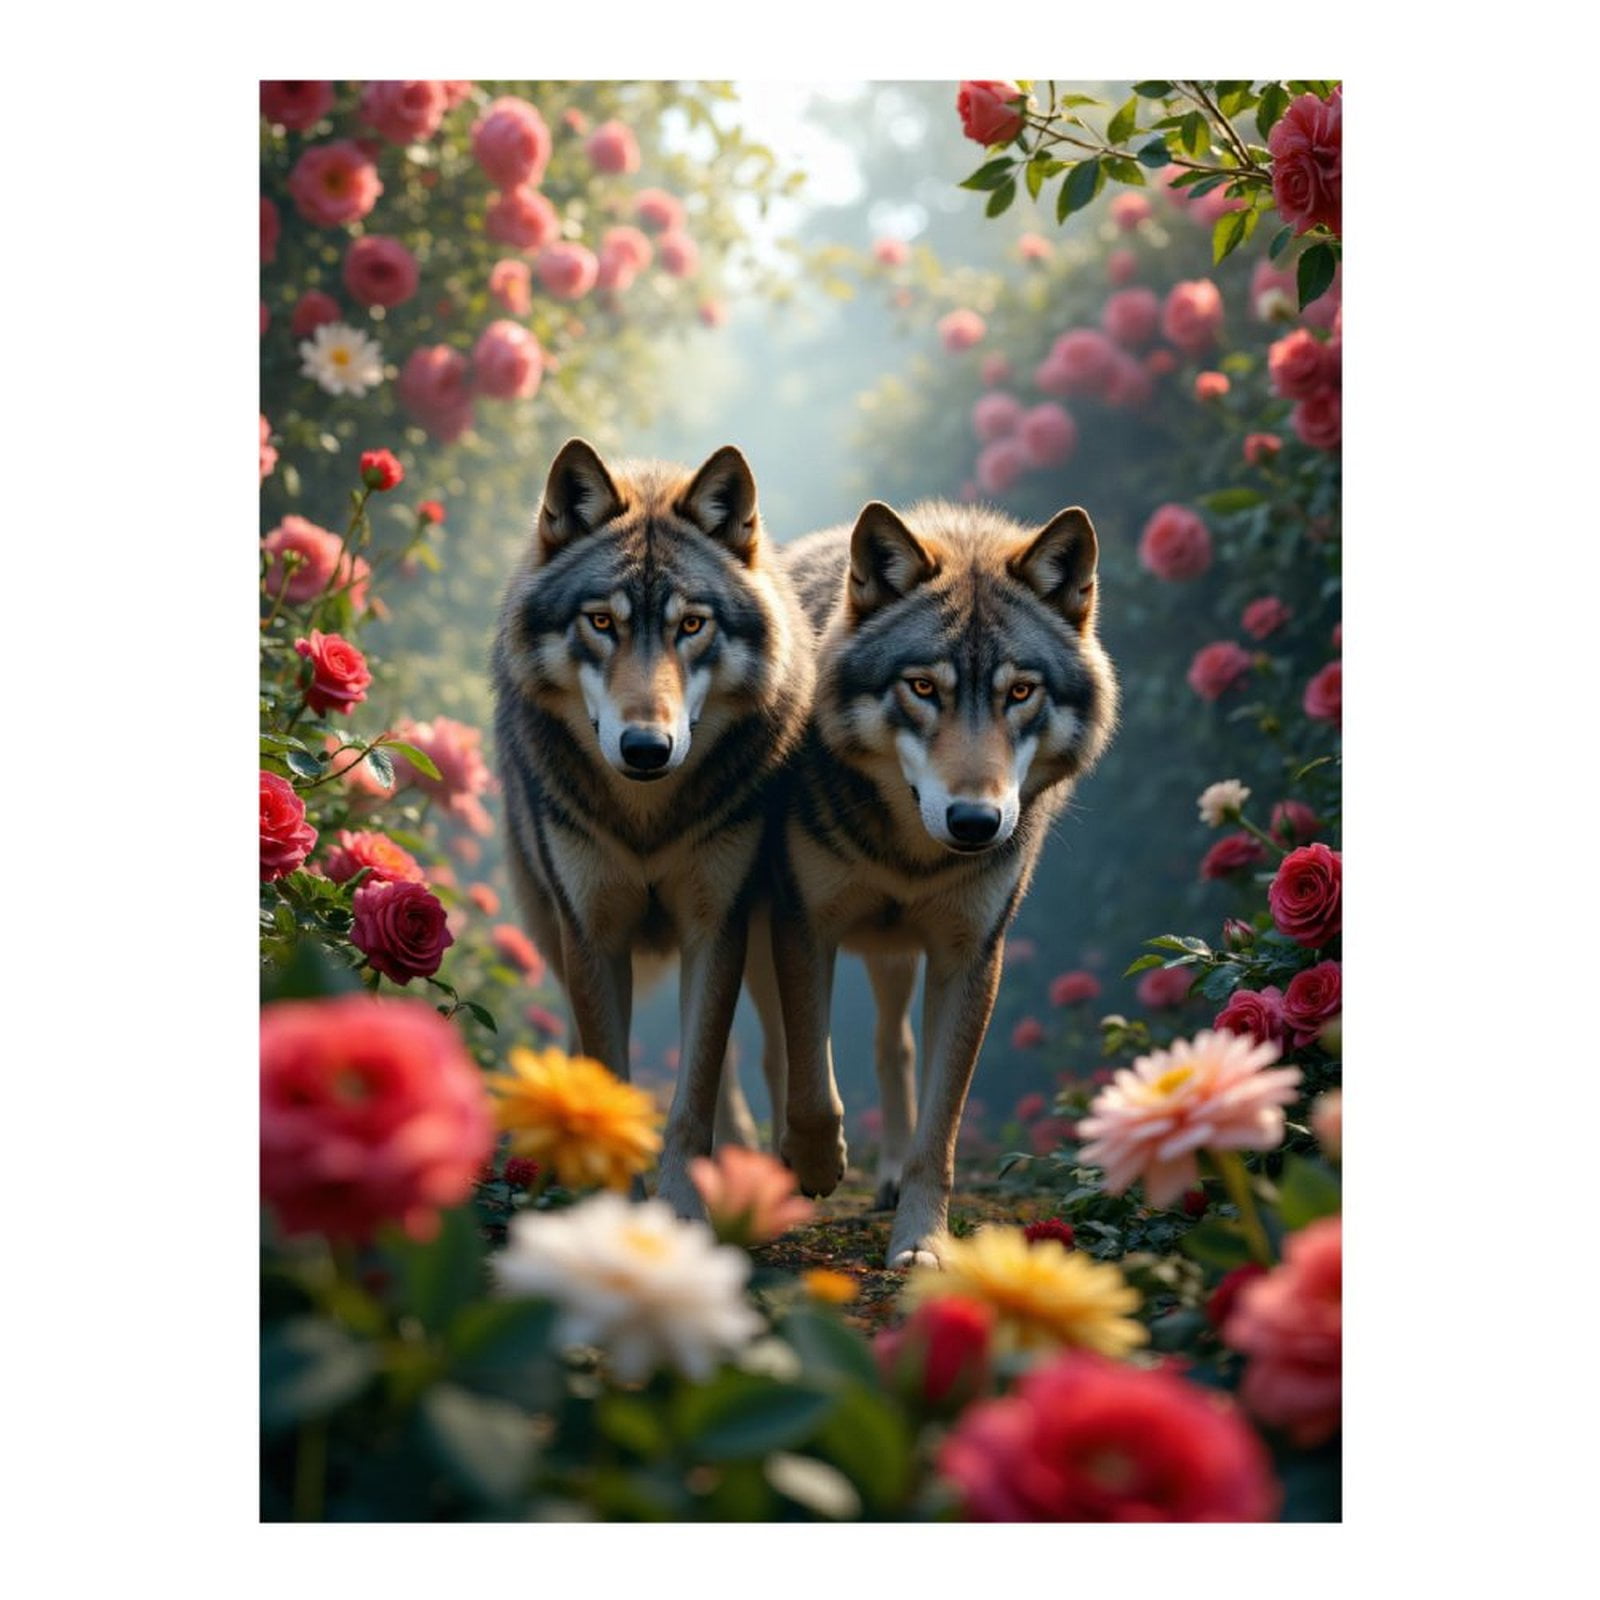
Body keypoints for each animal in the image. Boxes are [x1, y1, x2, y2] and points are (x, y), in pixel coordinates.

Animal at [491, 439, 814, 1212]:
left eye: (690, 625)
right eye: (602, 622)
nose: (646, 748)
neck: (648, 821)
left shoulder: (716, 927)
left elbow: (695, 1089)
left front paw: (683, 1207)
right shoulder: (591, 931)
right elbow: (608, 1071)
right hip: (548, 926)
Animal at [766, 498, 1118, 1267]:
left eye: (1020, 692)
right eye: (923, 688)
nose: (976, 822)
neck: (909, 855)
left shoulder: (968, 957)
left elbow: (941, 1128)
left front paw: (921, 1242)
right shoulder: (803, 930)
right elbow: (811, 1080)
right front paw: (815, 1167)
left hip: (897, 955)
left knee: (891, 1046)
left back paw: (890, 1177)